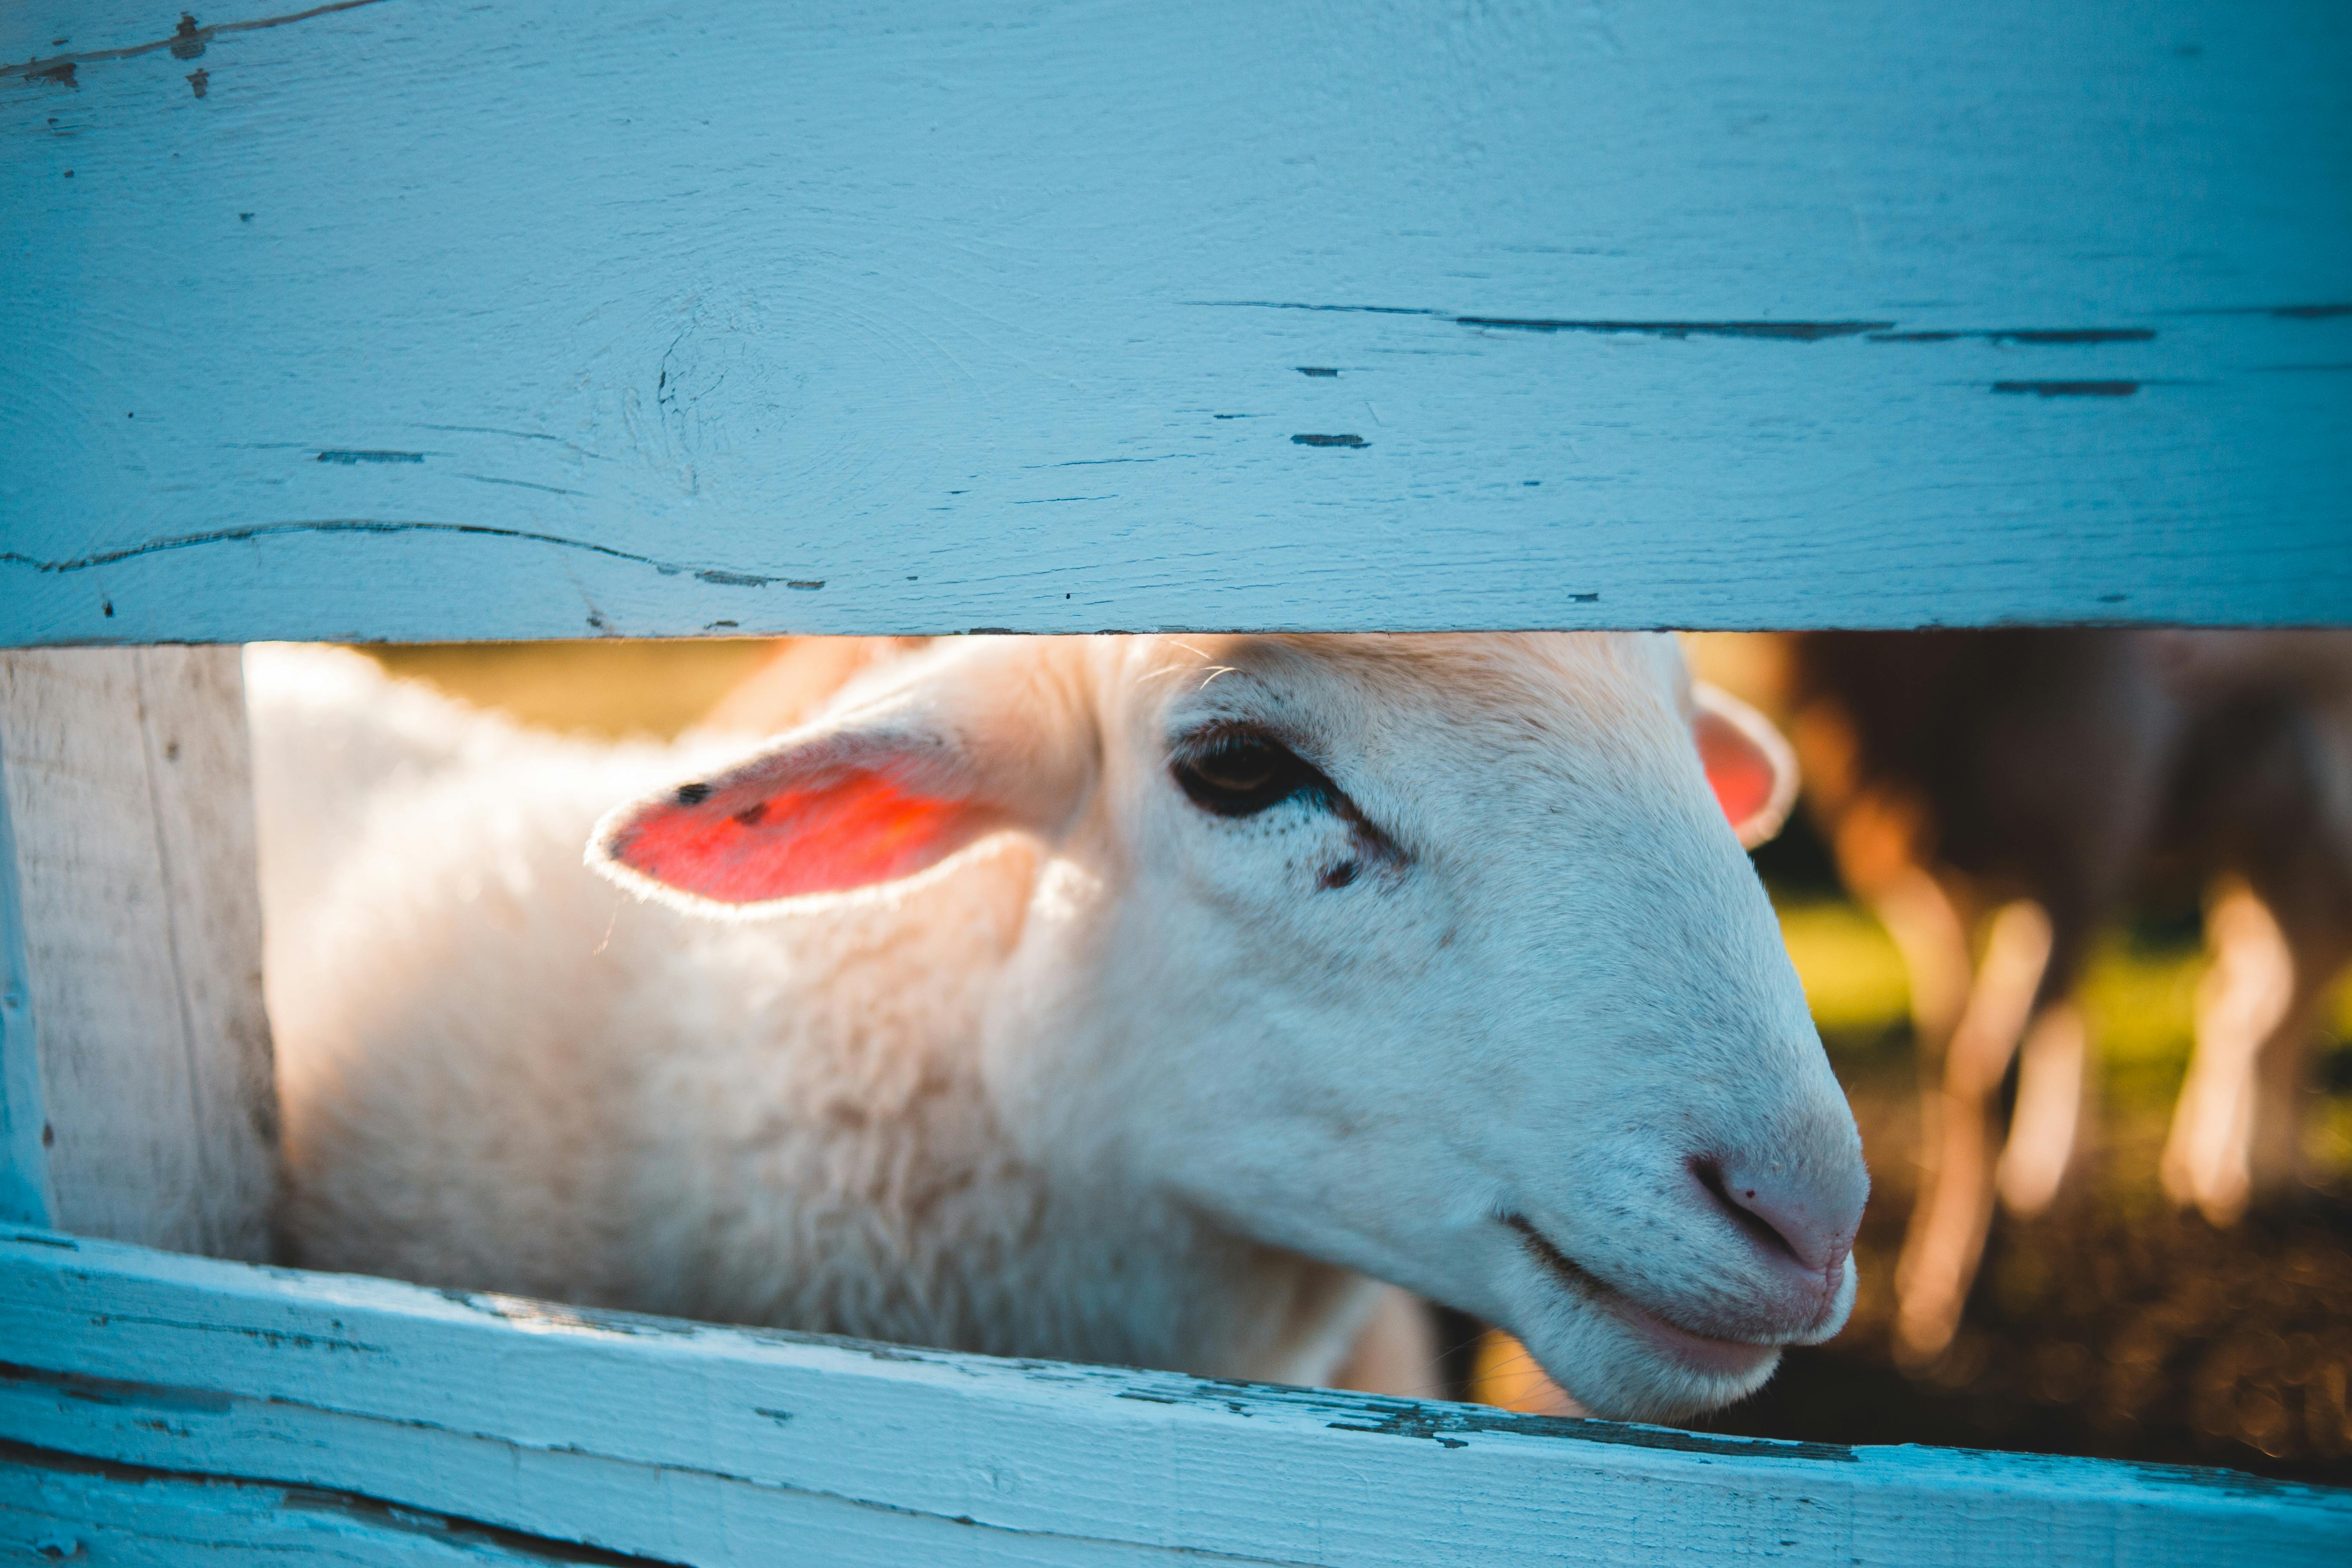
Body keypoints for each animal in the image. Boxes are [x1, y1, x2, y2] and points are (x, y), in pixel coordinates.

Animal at [1778, 629, 2352, 1362]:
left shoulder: (2086, 842)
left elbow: (1988, 1073)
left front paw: (1958, 1291)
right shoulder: (1933, 890)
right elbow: (1949, 1064)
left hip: (2300, 843)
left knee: (2279, 997)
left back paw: (2247, 1180)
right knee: (2253, 996)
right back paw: (2210, 1174)